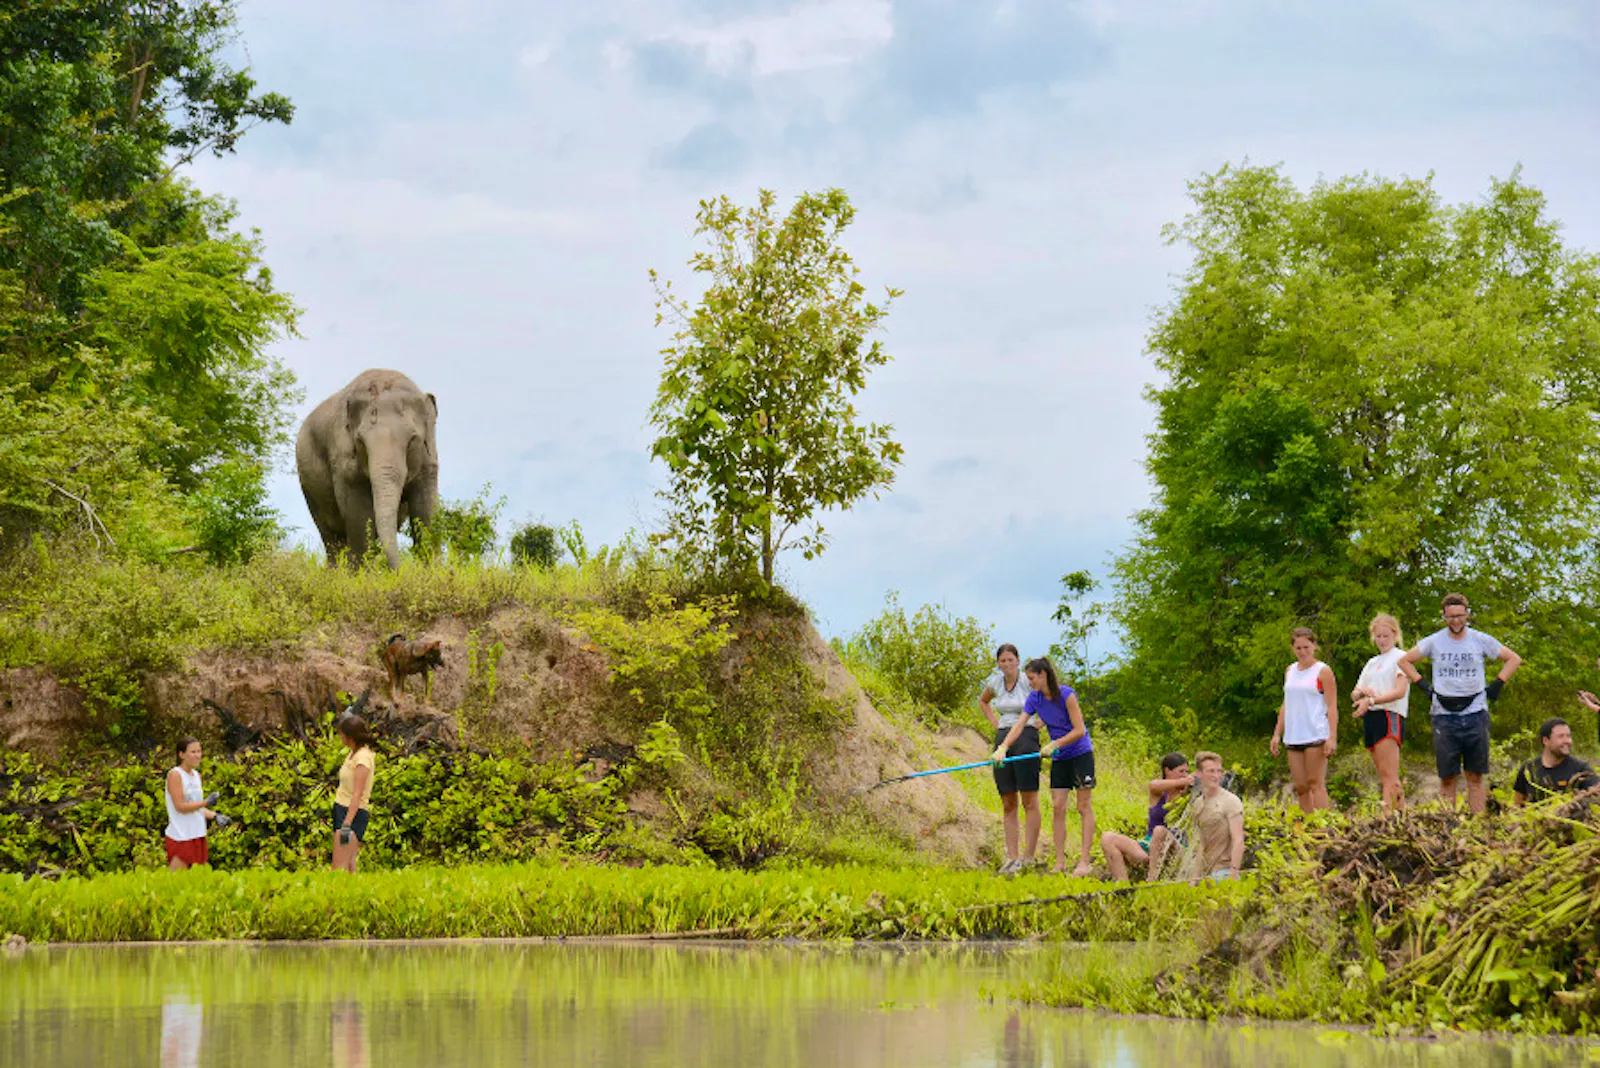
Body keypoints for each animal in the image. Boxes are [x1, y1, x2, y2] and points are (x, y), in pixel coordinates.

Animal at [296, 369, 439, 569]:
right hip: (308, 486)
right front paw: (361, 574)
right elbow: (359, 514)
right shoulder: (344, 460)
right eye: (361, 442)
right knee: (331, 536)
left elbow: (425, 508)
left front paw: (432, 569)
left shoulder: (429, 458)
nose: (404, 569)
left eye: (412, 440)